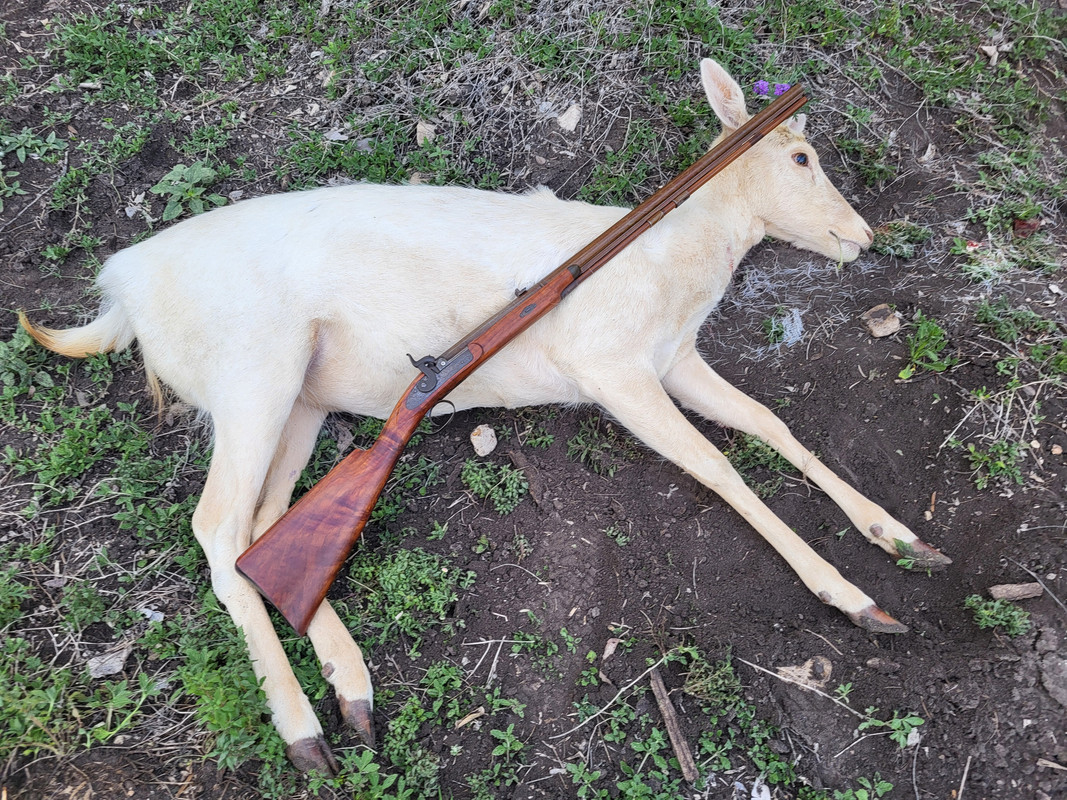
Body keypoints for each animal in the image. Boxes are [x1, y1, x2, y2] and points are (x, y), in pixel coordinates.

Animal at [19, 58, 951, 774]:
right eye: (800, 154)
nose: (862, 235)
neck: (676, 270)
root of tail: (120, 295)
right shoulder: (608, 364)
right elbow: (718, 466)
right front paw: (853, 599)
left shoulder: (675, 358)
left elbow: (769, 424)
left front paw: (903, 540)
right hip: (252, 373)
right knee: (215, 528)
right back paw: (306, 734)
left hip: (303, 403)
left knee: (262, 530)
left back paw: (354, 695)